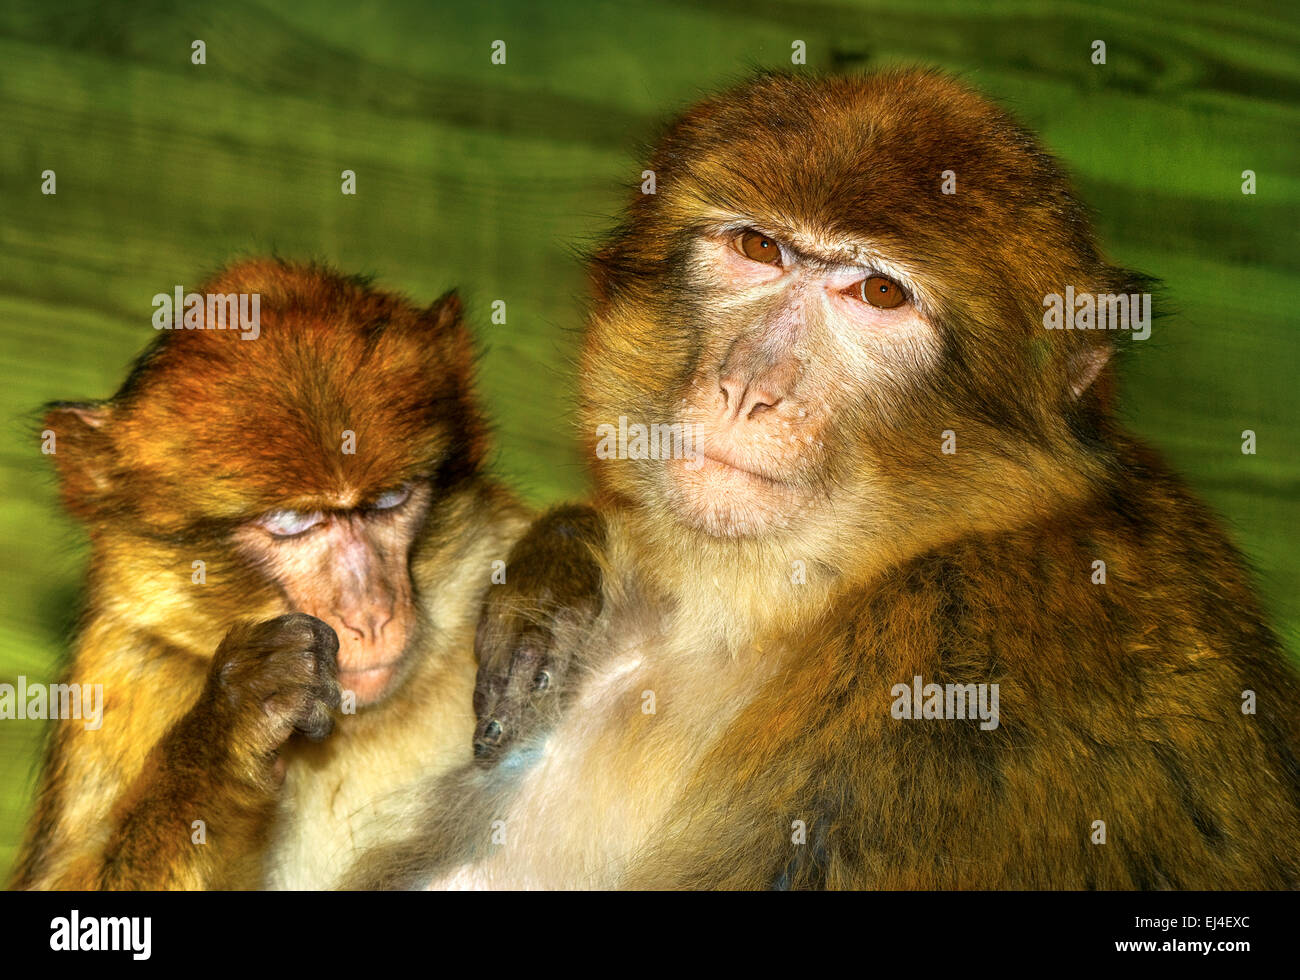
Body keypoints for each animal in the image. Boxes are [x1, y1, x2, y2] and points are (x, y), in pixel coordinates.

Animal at [8, 258, 567, 889]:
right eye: (292, 522)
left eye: (390, 500)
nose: (370, 613)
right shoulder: (125, 667)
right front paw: (233, 721)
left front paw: (548, 584)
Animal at [349, 69, 1300, 890]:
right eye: (758, 247)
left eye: (878, 294)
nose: (748, 387)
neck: (770, 612)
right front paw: (558, 572)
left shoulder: (955, 671)